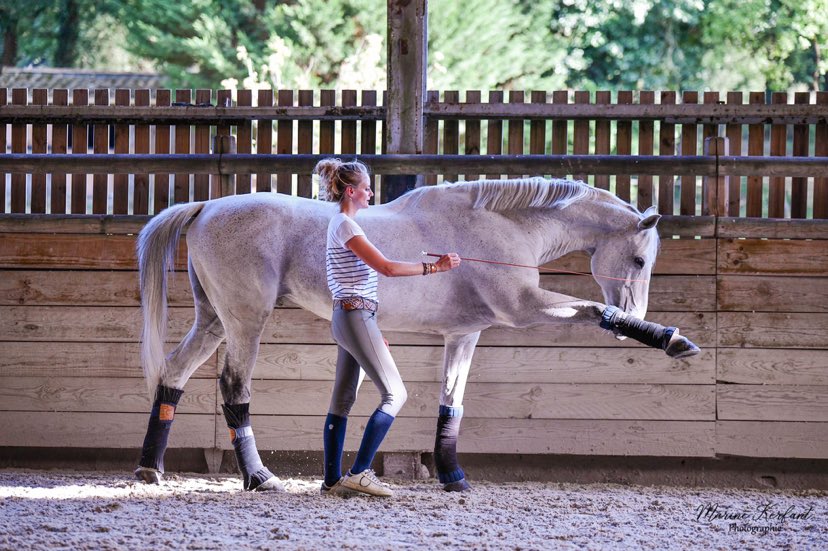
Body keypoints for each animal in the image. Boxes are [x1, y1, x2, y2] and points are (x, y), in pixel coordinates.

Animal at [133, 177, 700, 492]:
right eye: (640, 259)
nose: (640, 309)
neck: (504, 225)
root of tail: (207, 207)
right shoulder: (523, 308)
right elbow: (596, 307)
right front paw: (671, 339)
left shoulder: (465, 334)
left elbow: (452, 404)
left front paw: (454, 478)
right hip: (245, 321)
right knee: (235, 389)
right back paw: (258, 478)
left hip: (213, 320)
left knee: (174, 374)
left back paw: (150, 470)